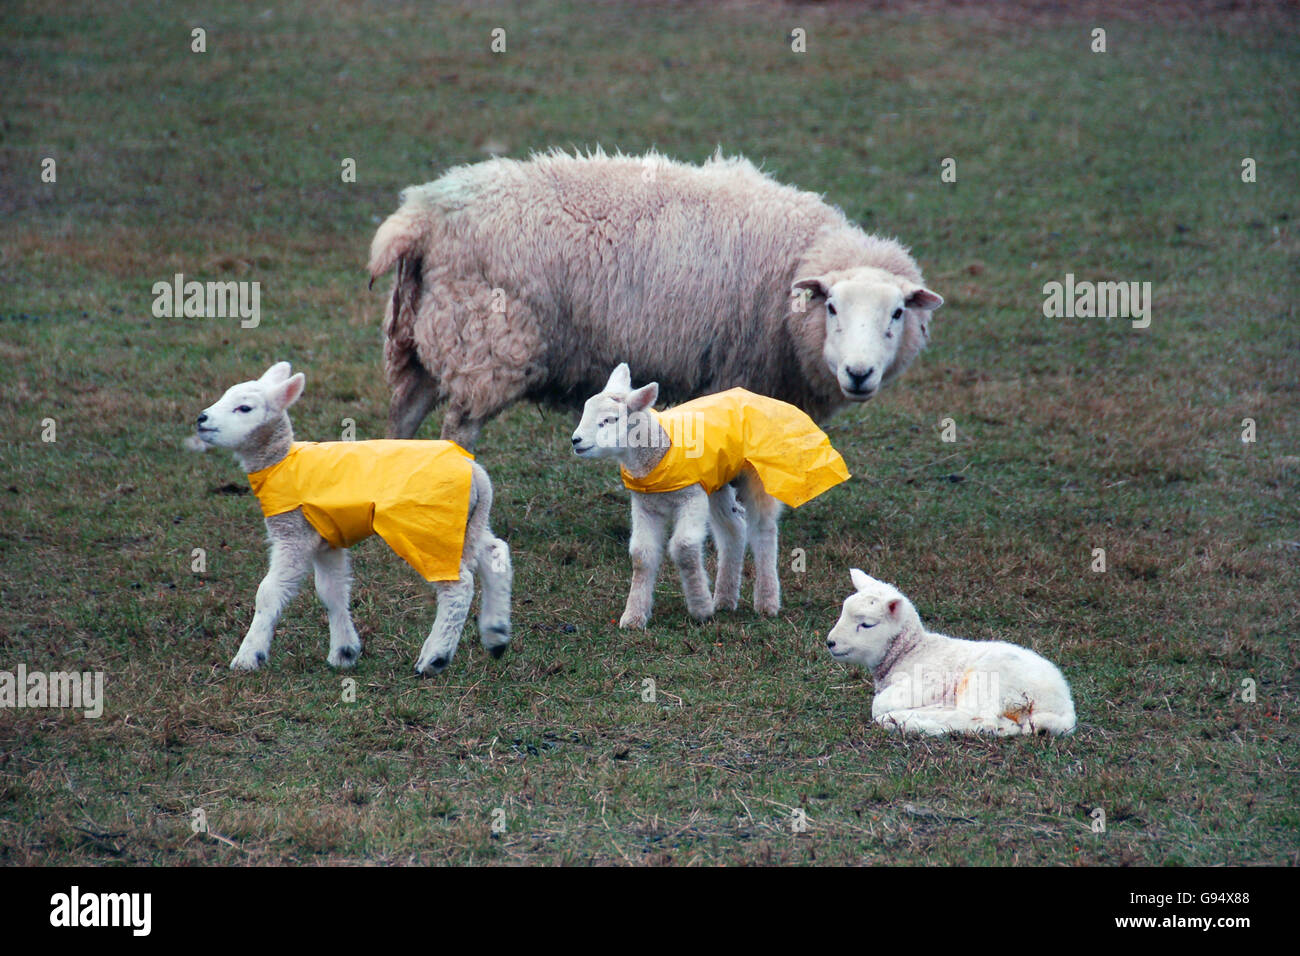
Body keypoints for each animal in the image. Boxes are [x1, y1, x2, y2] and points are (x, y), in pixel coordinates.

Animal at [194, 361, 512, 676]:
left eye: (244, 408)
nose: (201, 418)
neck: (280, 462)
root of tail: (476, 473)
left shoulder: (293, 533)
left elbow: (269, 592)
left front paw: (248, 657)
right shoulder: (326, 539)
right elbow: (331, 591)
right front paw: (344, 652)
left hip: (430, 527)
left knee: (458, 586)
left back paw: (435, 658)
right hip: (466, 523)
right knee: (495, 553)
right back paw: (496, 634)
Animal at [368, 148, 943, 449]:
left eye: (897, 313)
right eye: (831, 308)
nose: (859, 374)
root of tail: (424, 211)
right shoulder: (741, 371)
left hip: (427, 334)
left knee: (403, 418)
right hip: (487, 343)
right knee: (457, 429)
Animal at [572, 363, 850, 628]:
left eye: (609, 420)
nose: (575, 440)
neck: (658, 453)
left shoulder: (691, 496)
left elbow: (684, 546)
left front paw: (700, 607)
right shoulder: (645, 505)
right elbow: (641, 554)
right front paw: (633, 616)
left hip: (758, 477)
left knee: (763, 530)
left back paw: (766, 601)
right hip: (718, 481)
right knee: (733, 530)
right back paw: (725, 599)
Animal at [825, 570, 1076, 736]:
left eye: (866, 624)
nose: (830, 642)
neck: (910, 651)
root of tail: (1064, 710)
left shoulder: (930, 680)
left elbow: (878, 703)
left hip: (988, 677)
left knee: (978, 718)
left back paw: (905, 720)